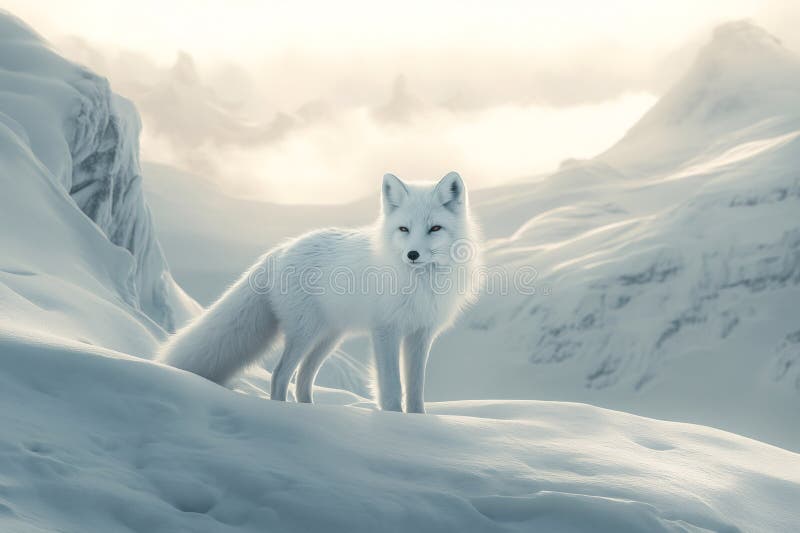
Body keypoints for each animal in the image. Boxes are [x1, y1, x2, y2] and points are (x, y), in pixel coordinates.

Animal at [158, 171, 481, 413]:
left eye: (435, 228)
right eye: (404, 229)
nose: (412, 254)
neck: (421, 283)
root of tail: (281, 249)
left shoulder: (421, 334)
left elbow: (415, 391)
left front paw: (417, 423)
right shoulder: (386, 330)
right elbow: (391, 388)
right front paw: (393, 422)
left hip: (328, 337)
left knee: (302, 379)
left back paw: (312, 413)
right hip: (304, 333)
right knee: (280, 375)